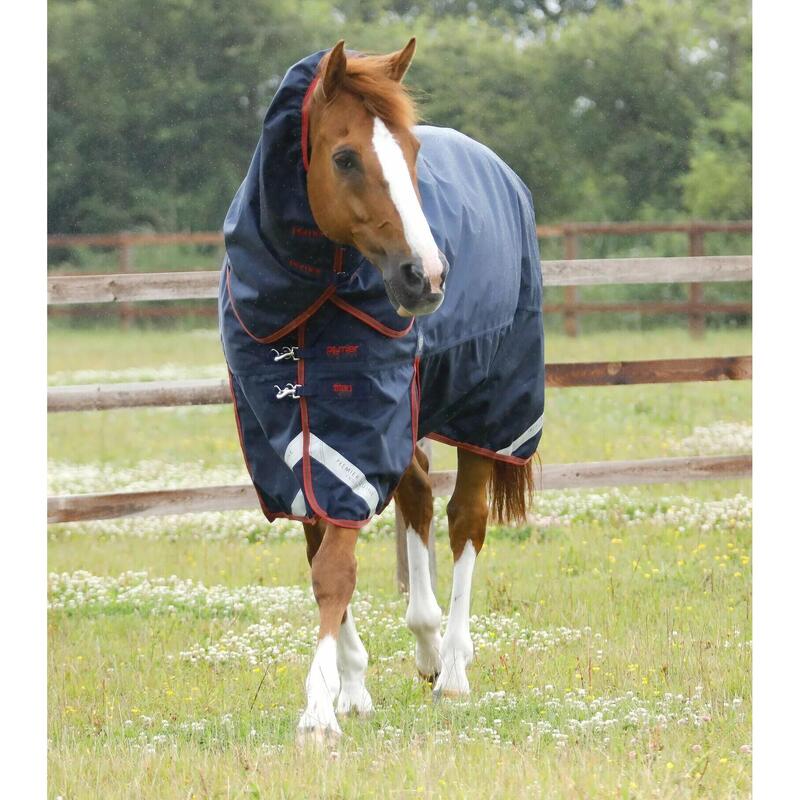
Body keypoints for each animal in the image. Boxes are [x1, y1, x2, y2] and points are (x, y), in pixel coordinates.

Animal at [219, 39, 544, 742]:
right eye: (345, 157)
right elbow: (323, 554)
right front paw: (351, 690)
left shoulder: (360, 430)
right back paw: (425, 648)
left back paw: (453, 671)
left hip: (488, 408)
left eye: (412, 153)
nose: (427, 276)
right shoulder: (298, 445)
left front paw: (317, 710)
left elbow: (334, 569)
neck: (306, 308)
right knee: (418, 497)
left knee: (465, 520)